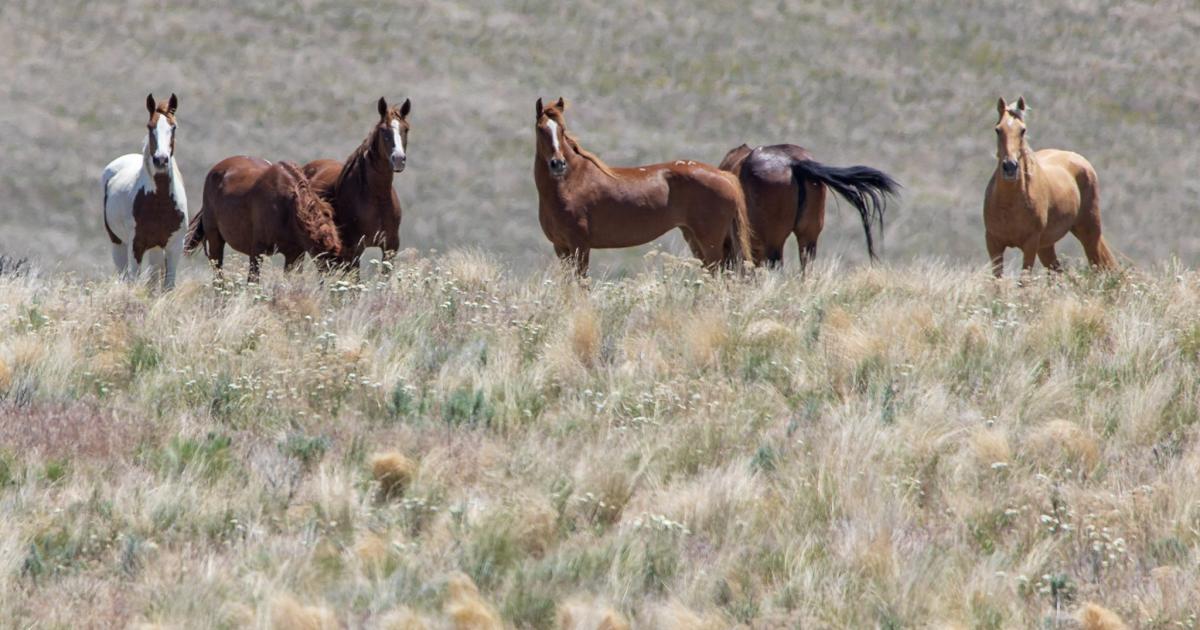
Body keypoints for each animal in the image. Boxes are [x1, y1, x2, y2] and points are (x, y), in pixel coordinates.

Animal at [101, 93, 188, 289]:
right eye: (150, 126)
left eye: (173, 127)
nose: (161, 160)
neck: (160, 204)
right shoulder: (136, 246)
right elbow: (133, 283)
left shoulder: (174, 246)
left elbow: (167, 287)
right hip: (118, 243)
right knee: (124, 277)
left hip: (155, 248)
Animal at [185, 159, 341, 283]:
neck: (288, 208)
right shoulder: (257, 252)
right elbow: (253, 283)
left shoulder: (295, 255)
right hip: (215, 240)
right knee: (218, 275)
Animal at [302, 97, 410, 272]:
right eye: (383, 131)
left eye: (406, 129)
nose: (399, 159)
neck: (377, 197)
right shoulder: (354, 250)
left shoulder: (390, 247)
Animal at [533, 97, 751, 276]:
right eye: (541, 129)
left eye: (562, 130)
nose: (558, 164)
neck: (572, 182)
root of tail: (725, 176)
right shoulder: (561, 247)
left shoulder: (580, 246)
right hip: (694, 238)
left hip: (710, 242)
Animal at [983, 97, 1116, 277]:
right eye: (998, 130)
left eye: (1023, 130)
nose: (1010, 166)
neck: (1009, 204)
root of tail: (1080, 160)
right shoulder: (993, 243)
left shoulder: (1030, 244)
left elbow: (1024, 280)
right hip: (1046, 246)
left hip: (1089, 232)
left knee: (1096, 265)